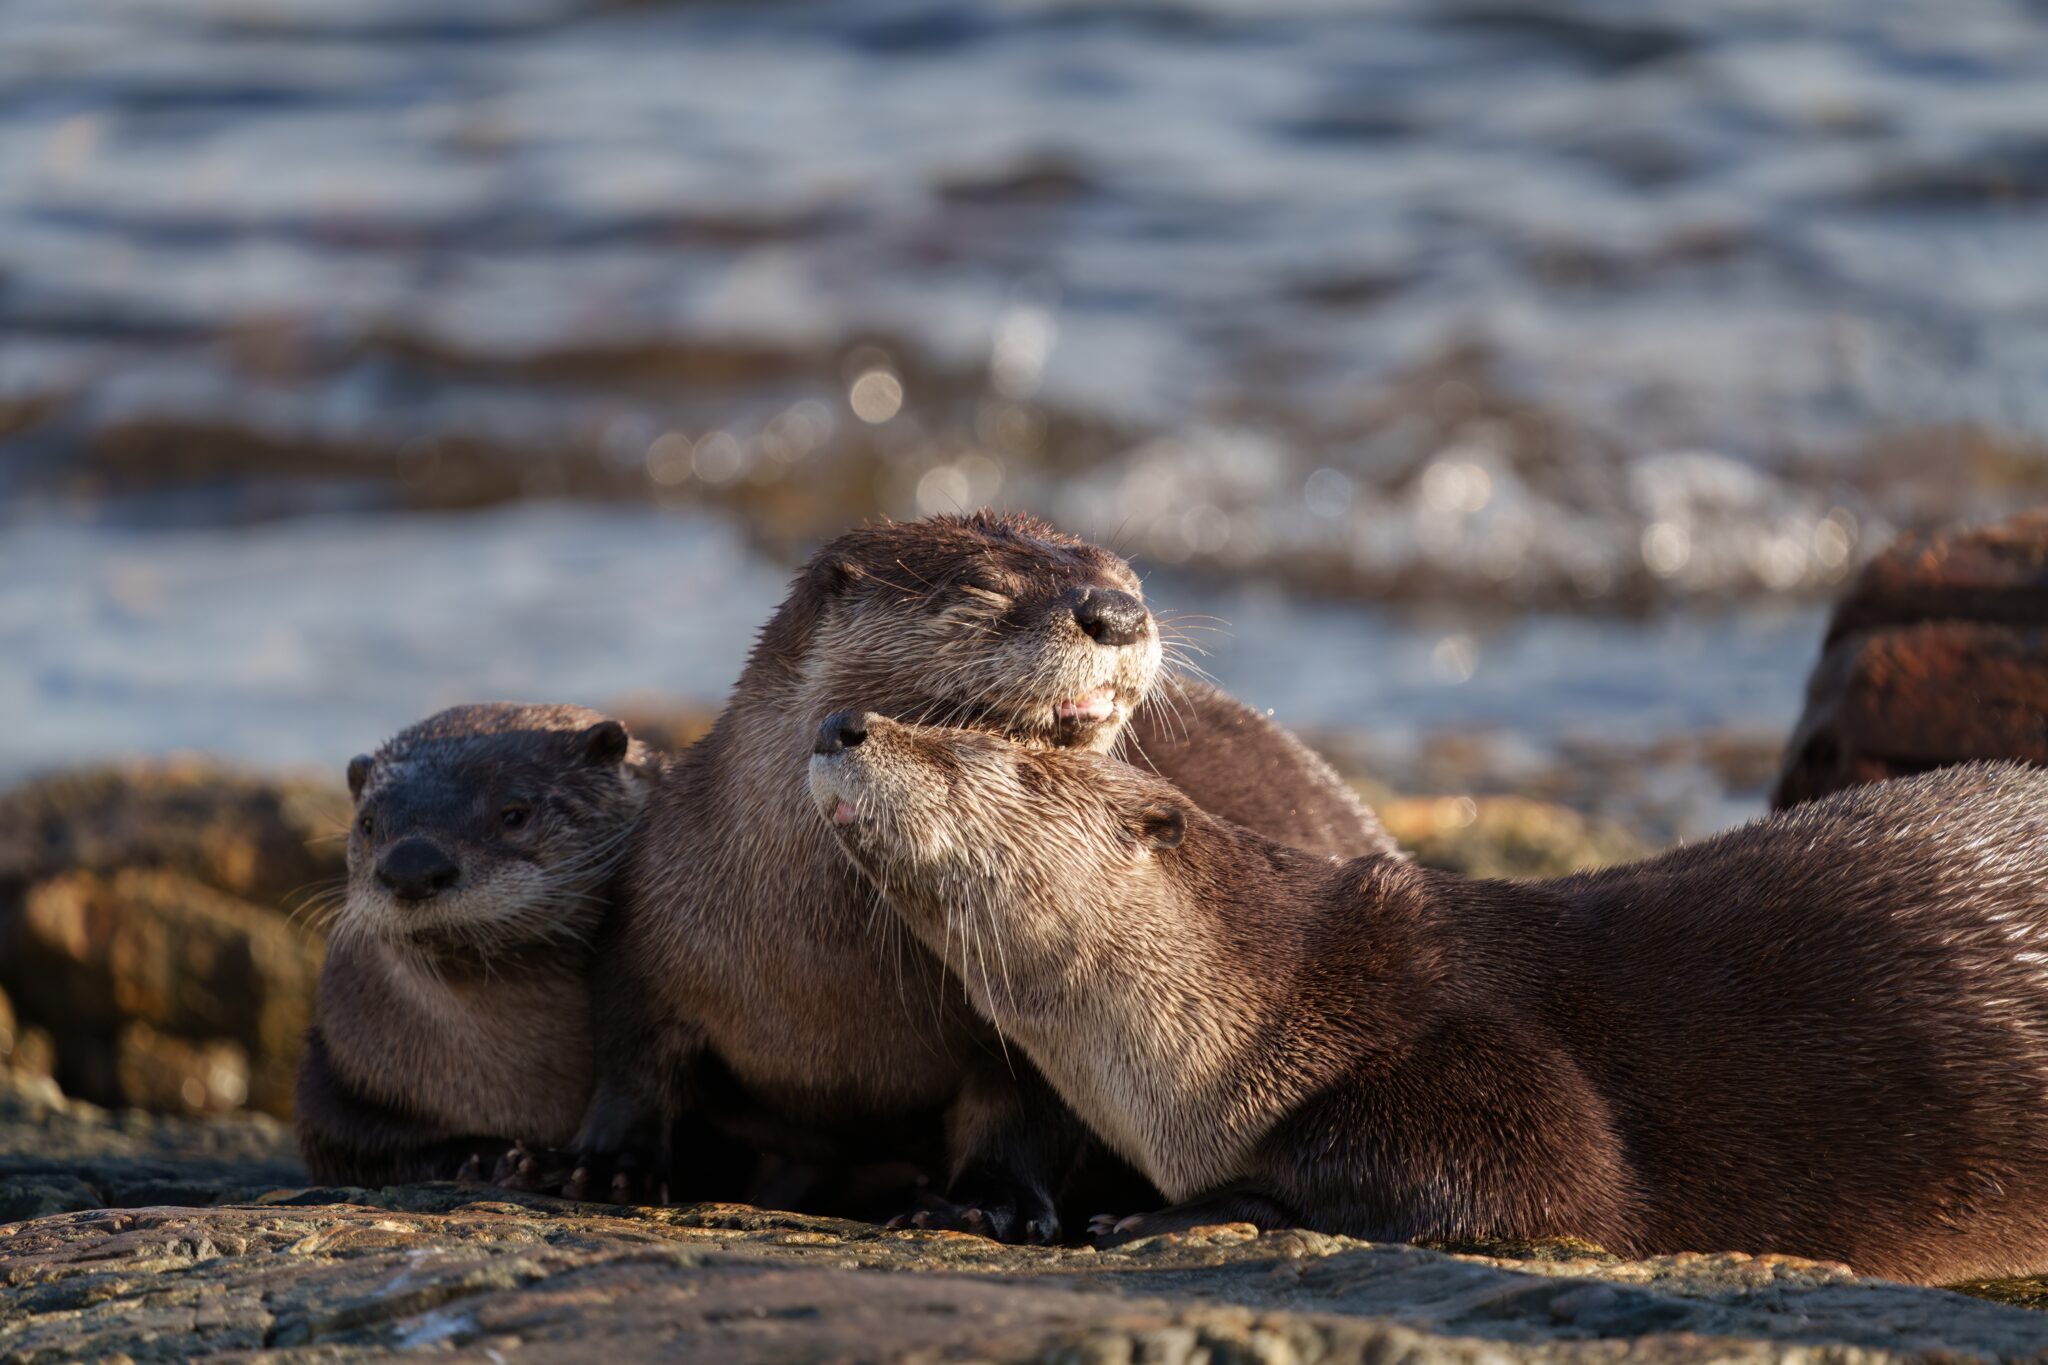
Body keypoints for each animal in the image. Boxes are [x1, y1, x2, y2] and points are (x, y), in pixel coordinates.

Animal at [296, 703, 658, 1187]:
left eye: (515, 814)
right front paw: (484, 1155)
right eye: (367, 823)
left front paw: (610, 1170)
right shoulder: (334, 1070)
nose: (412, 866)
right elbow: (343, 1138)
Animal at [571, 511, 1393, 1238]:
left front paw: (983, 1206)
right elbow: (631, 1056)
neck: (823, 970)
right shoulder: (652, 911)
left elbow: (1023, 1115)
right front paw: (610, 1166)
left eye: (1129, 579)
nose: (1120, 614)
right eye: (986, 588)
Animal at [813, 717, 2048, 1286]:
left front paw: (1179, 1210)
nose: (844, 724)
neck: (1283, 999)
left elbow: (1545, 1175)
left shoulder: (1477, 1043)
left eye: (996, 757)